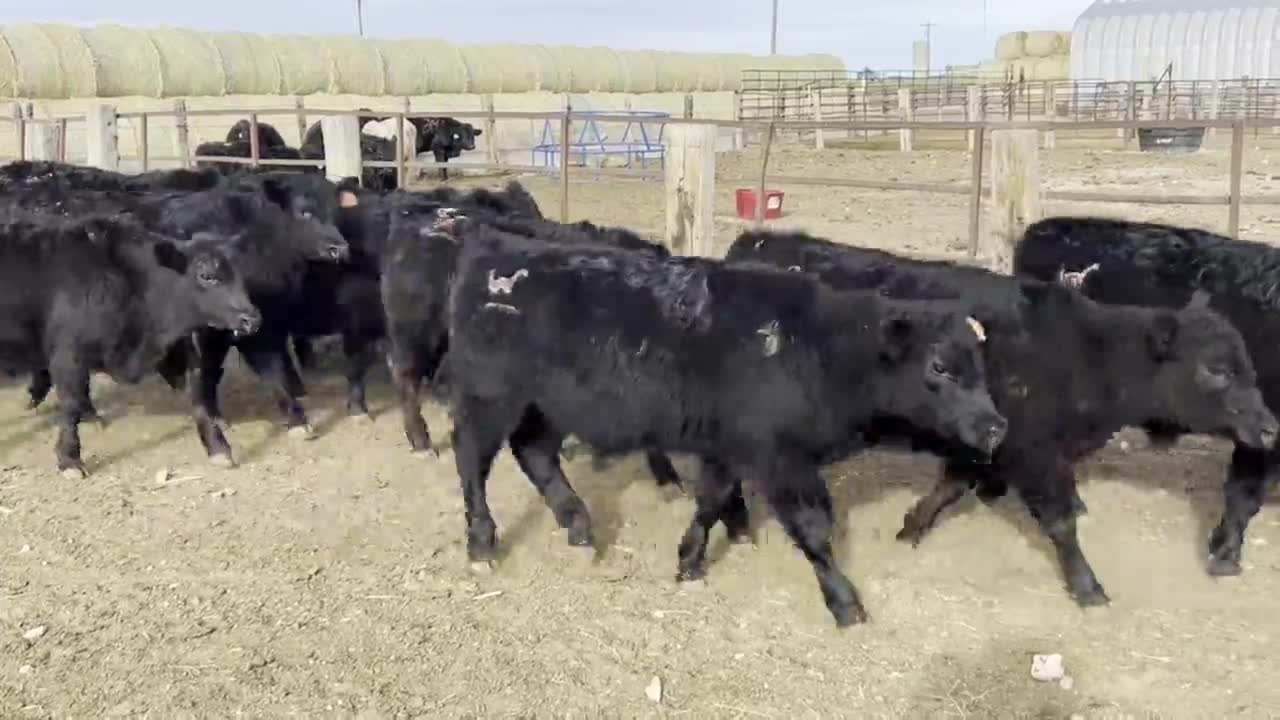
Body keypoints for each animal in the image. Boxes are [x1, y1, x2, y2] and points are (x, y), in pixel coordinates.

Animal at [0, 213, 261, 478]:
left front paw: (218, 448)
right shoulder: (68, 355)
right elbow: (70, 405)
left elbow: (198, 397)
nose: (252, 319)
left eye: (241, 276)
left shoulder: (176, 350)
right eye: (206, 276)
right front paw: (70, 460)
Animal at [443, 223, 1007, 627]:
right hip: (489, 397)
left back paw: (580, 527)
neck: (814, 348)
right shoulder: (780, 458)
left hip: (543, 406)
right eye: (939, 367)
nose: (996, 427)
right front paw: (845, 602)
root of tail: (493, 247)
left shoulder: (727, 446)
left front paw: (690, 561)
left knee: (534, 452)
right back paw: (482, 543)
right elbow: (812, 529)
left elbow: (711, 500)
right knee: (471, 458)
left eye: (981, 366)